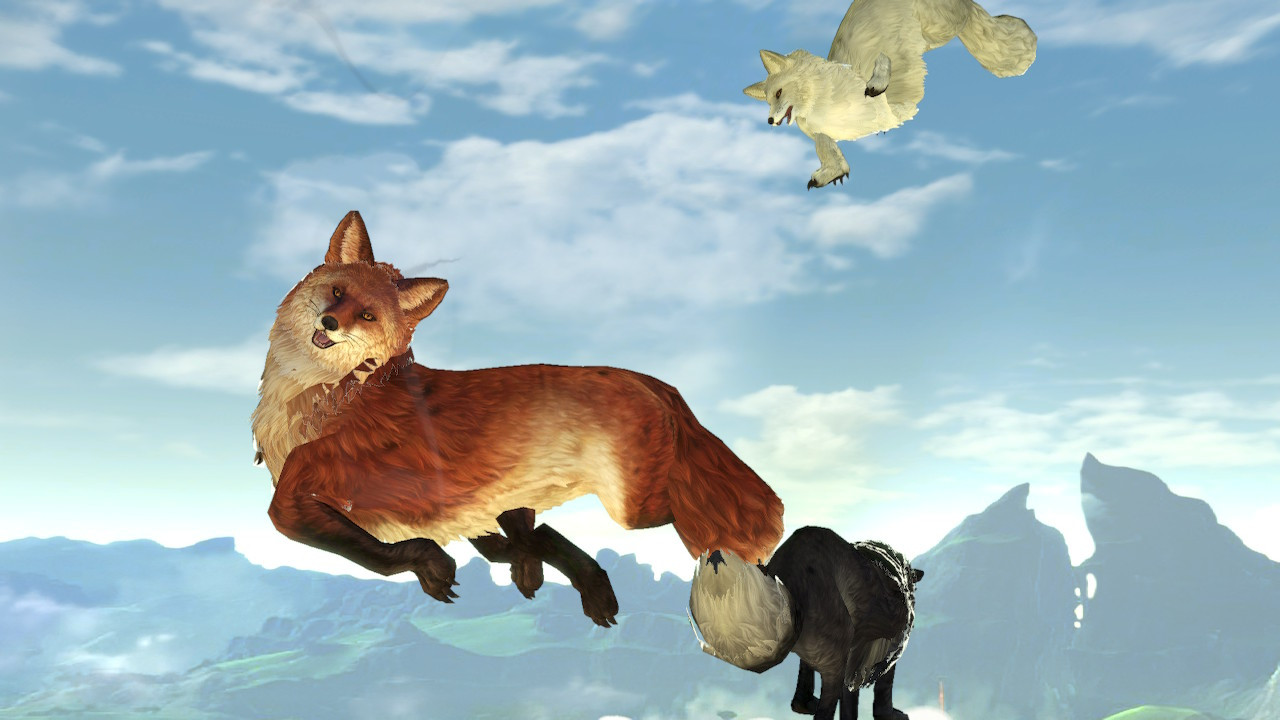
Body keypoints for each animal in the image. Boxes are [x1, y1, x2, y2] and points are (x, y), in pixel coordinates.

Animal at [251, 211, 785, 627]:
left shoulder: (292, 505)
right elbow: (491, 542)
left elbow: (378, 553)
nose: (329, 322)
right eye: (336, 291)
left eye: (367, 316)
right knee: (533, 533)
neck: (330, 398)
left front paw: (433, 565)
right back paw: (566, 578)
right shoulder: (464, 502)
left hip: (636, 507)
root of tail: (649, 379)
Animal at [744, 0, 1037, 189]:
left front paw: (878, 80)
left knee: (966, 16)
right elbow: (828, 149)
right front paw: (831, 173)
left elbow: (882, 69)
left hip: (940, 27)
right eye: (767, 101)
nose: (769, 121)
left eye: (779, 92)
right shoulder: (824, 131)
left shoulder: (887, 99)